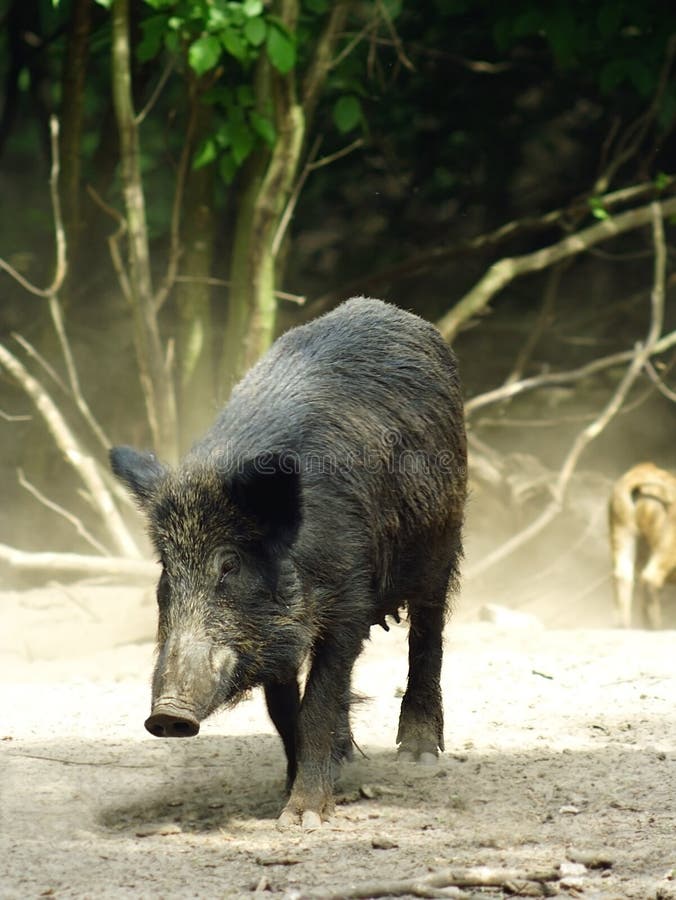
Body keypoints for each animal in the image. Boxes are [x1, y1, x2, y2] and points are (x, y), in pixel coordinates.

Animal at [110, 296, 467, 829]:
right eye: (167, 568)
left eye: (230, 565)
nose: (167, 715)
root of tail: (396, 313)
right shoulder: (271, 637)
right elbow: (284, 711)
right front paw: (293, 792)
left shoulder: (348, 602)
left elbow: (318, 701)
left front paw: (303, 818)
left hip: (443, 539)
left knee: (428, 632)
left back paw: (419, 757)